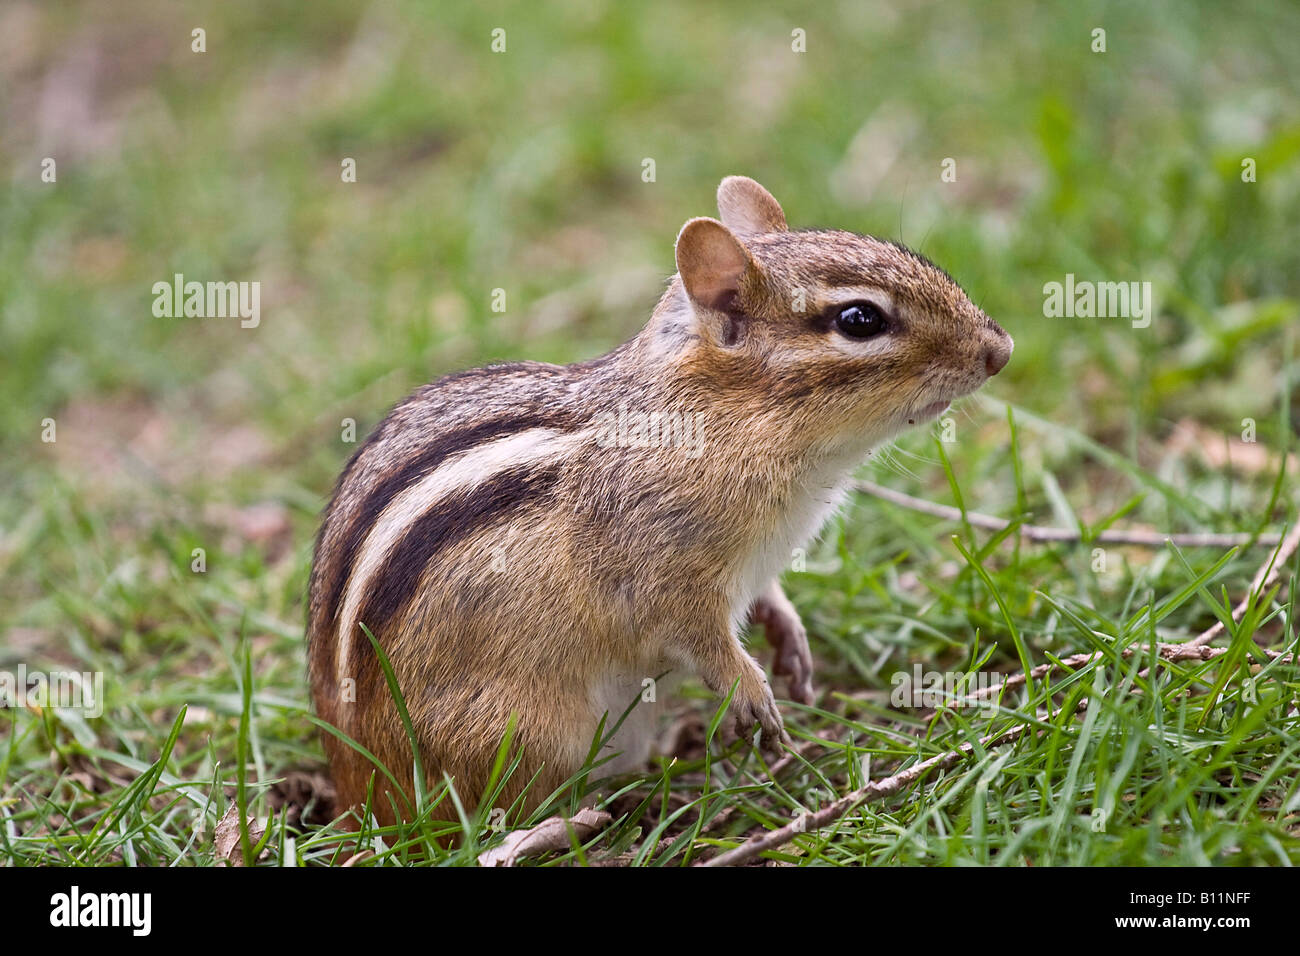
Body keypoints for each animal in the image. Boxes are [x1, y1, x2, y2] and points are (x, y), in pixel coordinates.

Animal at [306, 176, 1013, 827]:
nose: (1000, 350)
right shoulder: (661, 570)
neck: (714, 413)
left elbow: (768, 598)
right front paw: (751, 691)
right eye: (860, 320)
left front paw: (789, 639)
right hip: (523, 732)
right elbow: (694, 633)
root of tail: (356, 792)